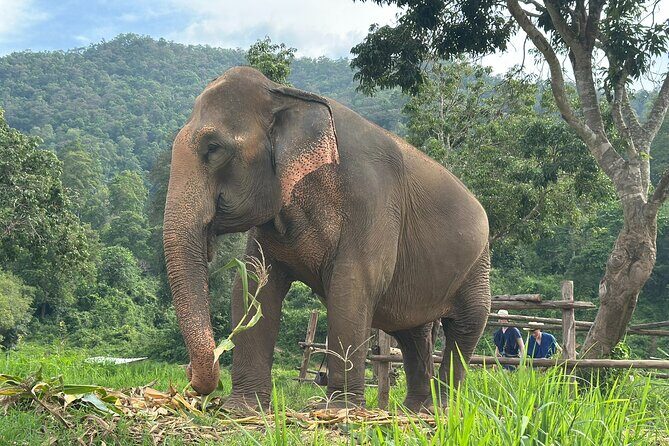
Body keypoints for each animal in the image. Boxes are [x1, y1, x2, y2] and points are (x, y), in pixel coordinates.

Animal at [163, 66, 491, 413]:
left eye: (213, 148)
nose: (190, 376)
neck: (285, 94)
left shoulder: (371, 200)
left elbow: (353, 285)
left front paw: (340, 410)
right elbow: (254, 286)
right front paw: (242, 409)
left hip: (478, 265)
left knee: (465, 326)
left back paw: (443, 411)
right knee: (414, 334)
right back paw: (415, 411)